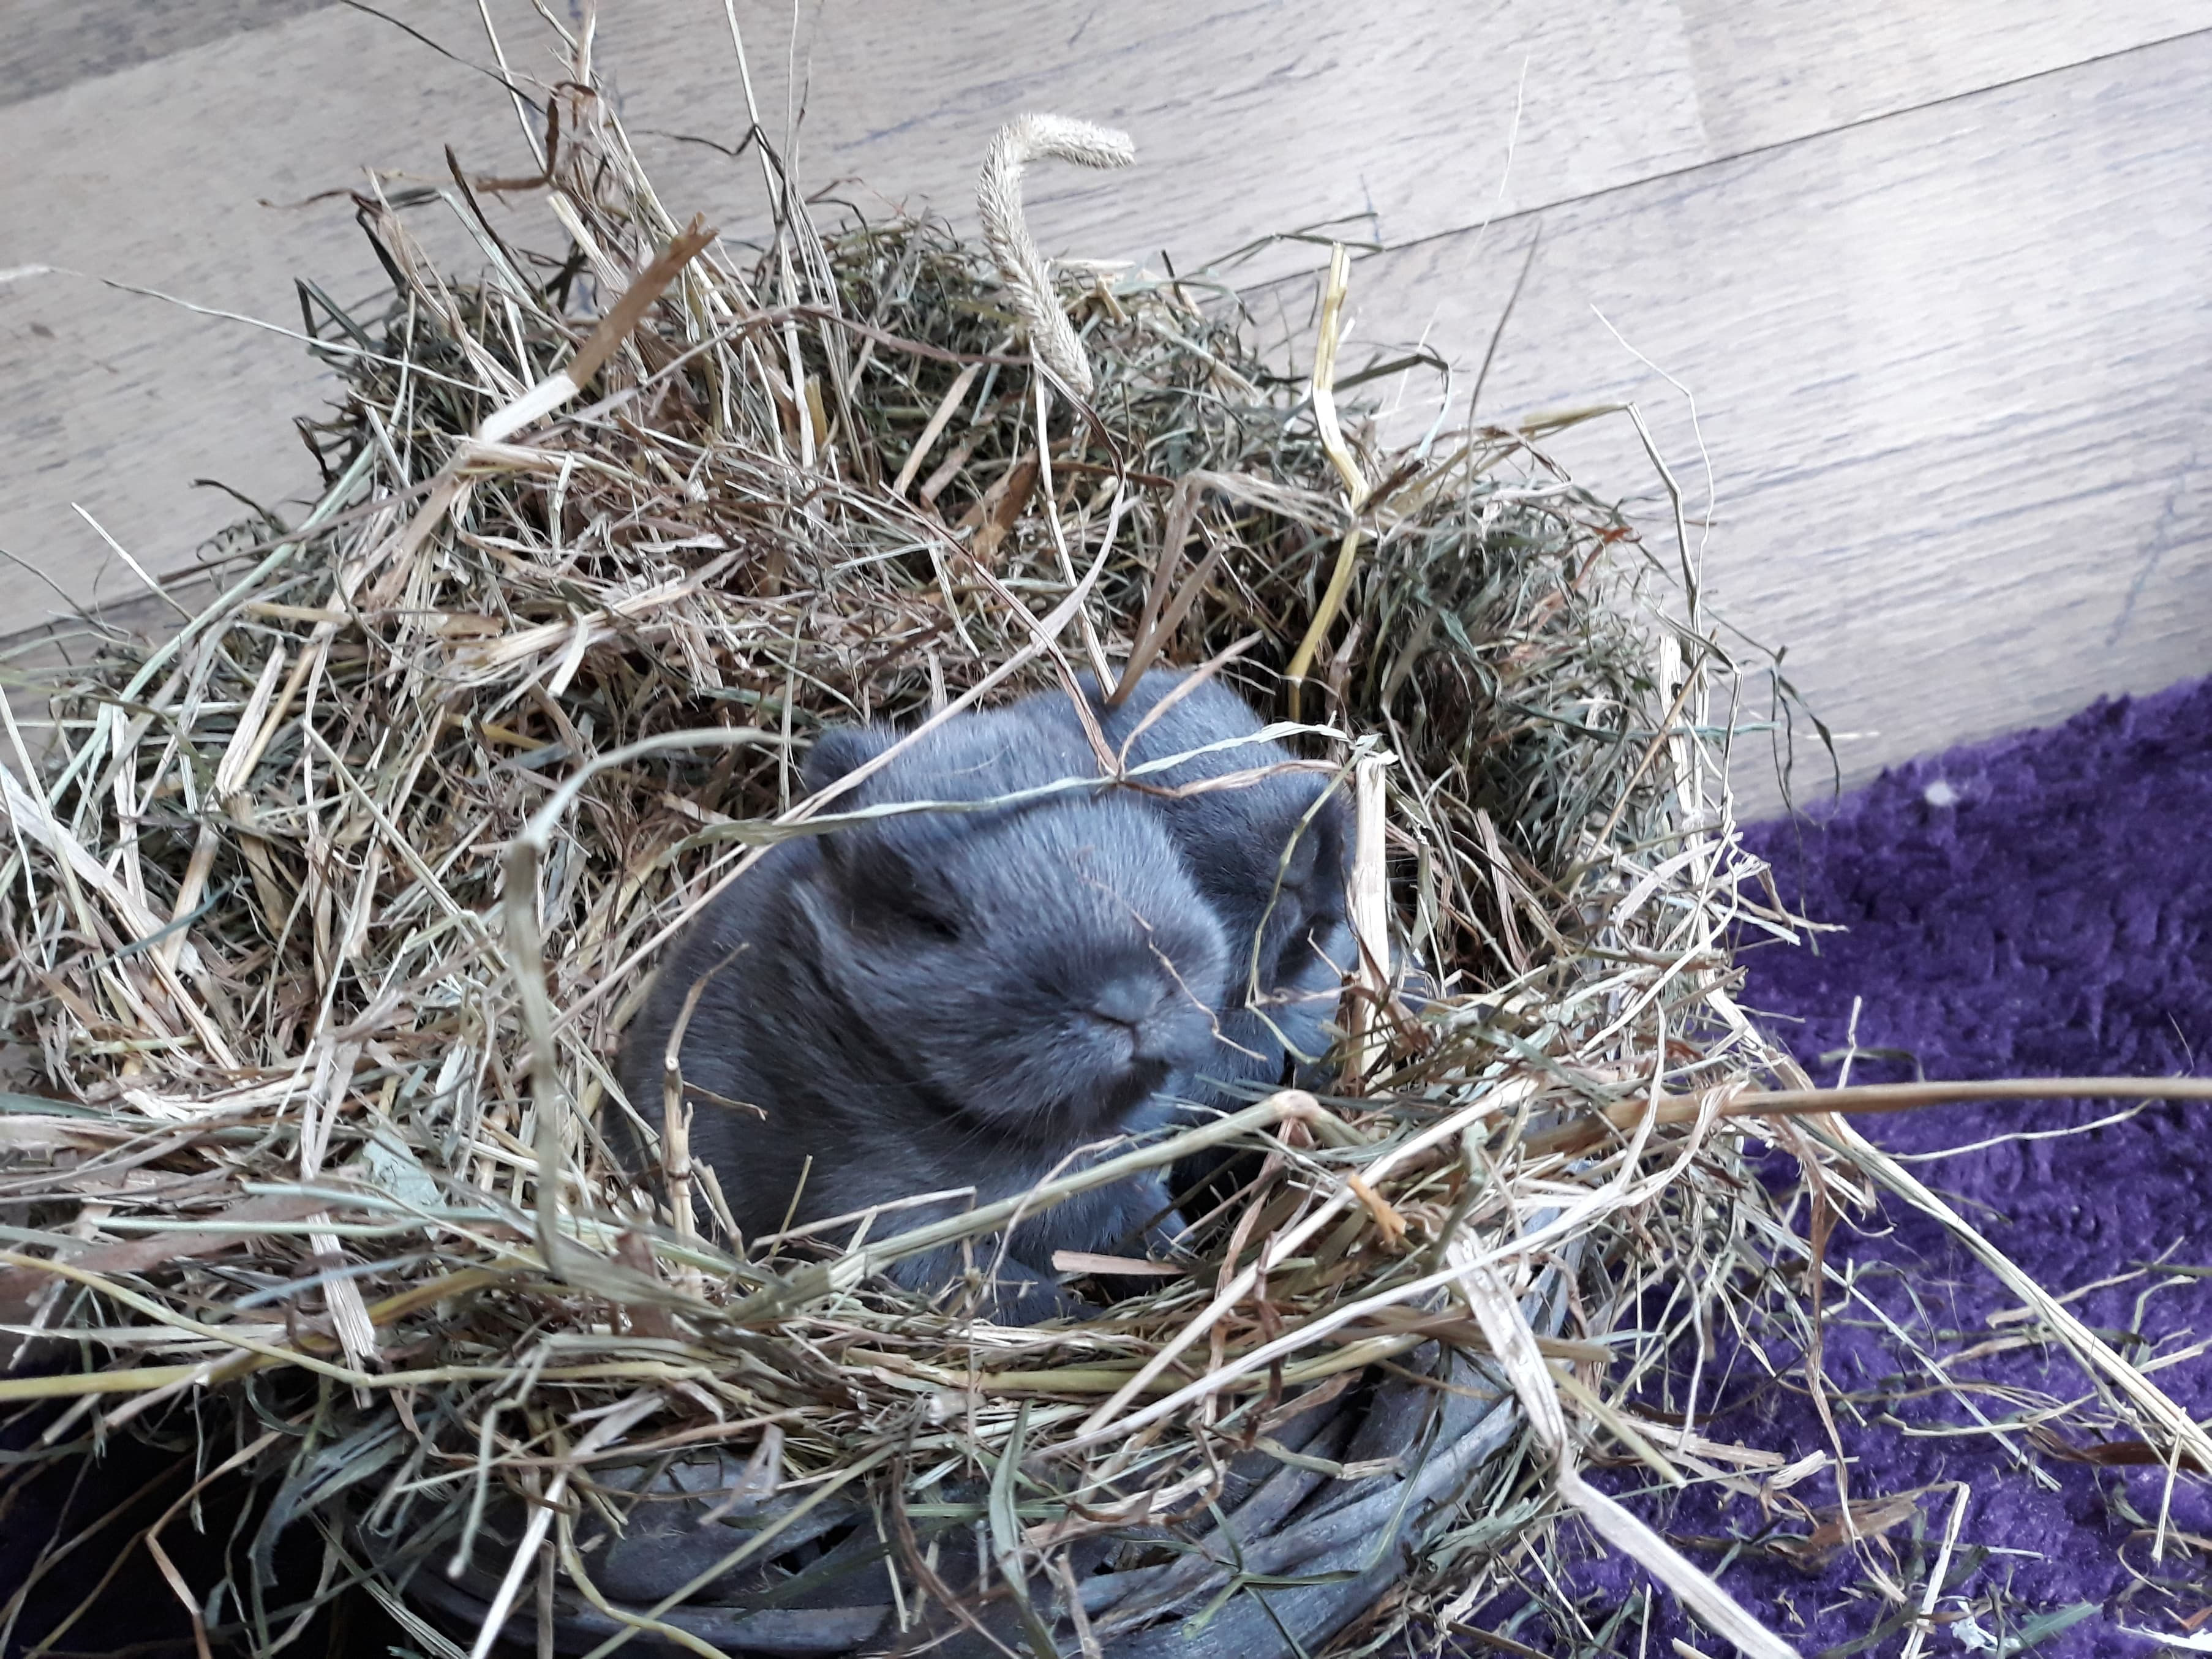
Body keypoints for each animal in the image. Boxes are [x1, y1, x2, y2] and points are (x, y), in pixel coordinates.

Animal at [615, 708, 1229, 1322]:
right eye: (933, 921)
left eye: (1159, 847)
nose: (1131, 999)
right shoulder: (889, 1219)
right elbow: (1008, 1291)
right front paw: (1082, 1318)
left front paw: (1183, 1256)